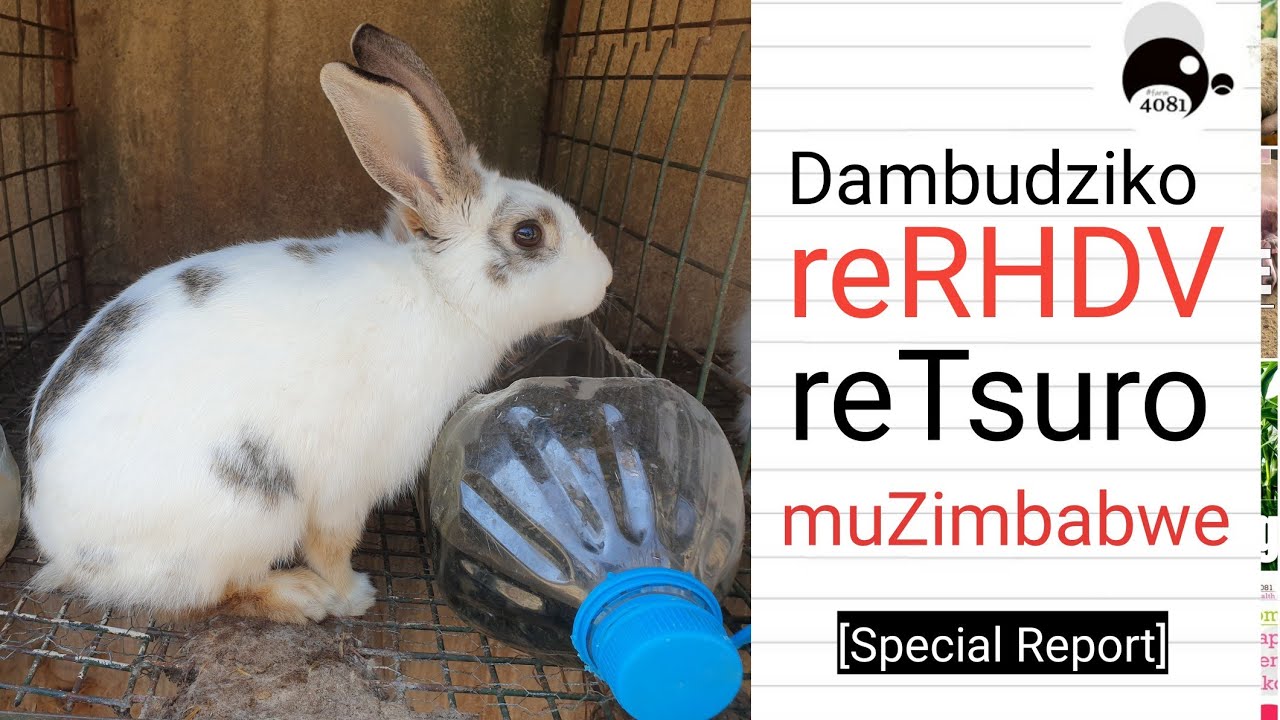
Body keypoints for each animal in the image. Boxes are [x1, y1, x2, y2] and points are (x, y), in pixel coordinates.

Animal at [21, 24, 612, 624]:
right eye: (528, 235)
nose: (606, 278)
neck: (437, 291)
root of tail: (64, 550)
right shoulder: (348, 484)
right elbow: (333, 544)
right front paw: (354, 595)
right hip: (252, 516)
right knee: (213, 594)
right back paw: (301, 596)